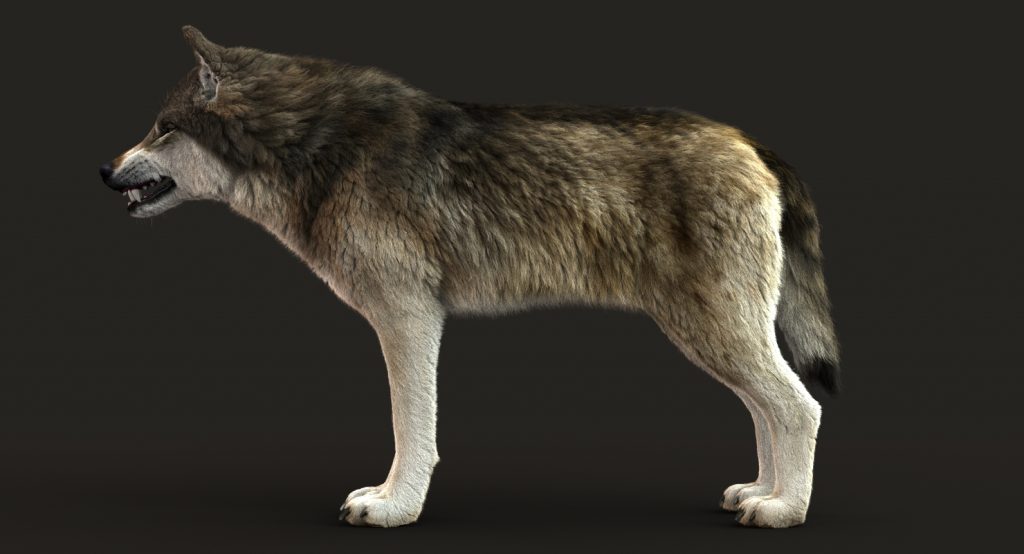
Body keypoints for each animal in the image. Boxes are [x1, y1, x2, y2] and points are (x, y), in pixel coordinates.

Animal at [99, 26, 840, 528]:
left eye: (163, 128)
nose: (105, 170)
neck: (317, 146)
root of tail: (752, 143)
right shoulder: (411, 316)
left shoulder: (408, 316)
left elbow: (410, 426)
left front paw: (394, 507)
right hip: (713, 336)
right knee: (767, 408)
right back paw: (761, 493)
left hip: (712, 331)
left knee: (800, 407)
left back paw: (786, 511)